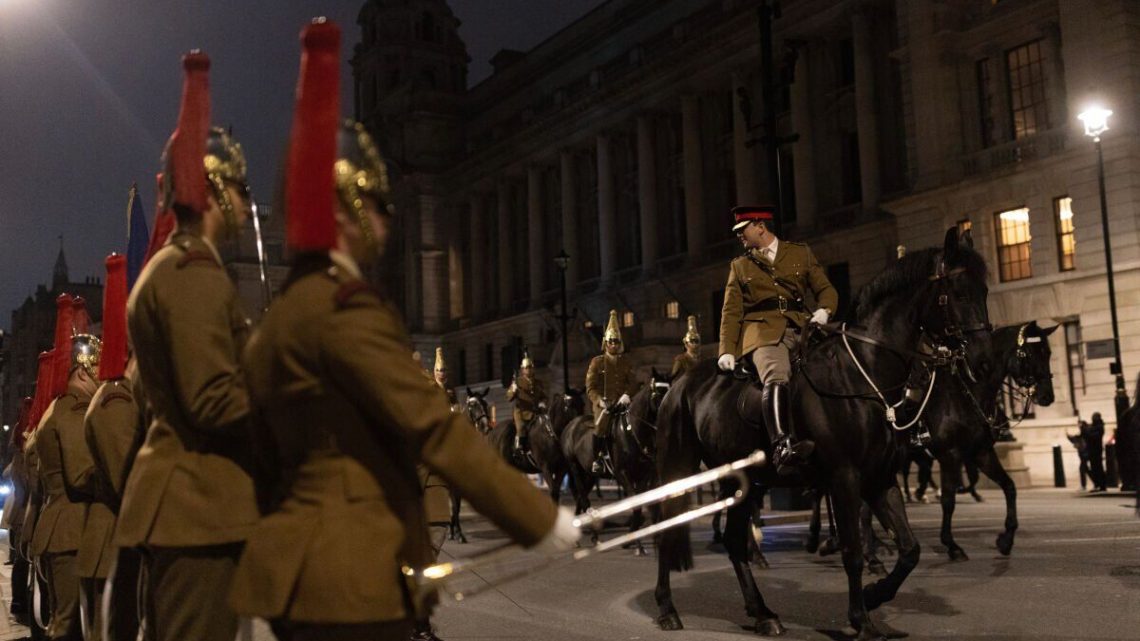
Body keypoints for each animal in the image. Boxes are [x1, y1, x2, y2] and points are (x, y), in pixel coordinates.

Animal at [652, 226, 989, 634]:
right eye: (959, 293)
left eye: (985, 290)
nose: (982, 359)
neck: (864, 374)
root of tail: (681, 383)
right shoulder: (844, 477)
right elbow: (853, 550)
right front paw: (862, 619)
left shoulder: (880, 478)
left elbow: (910, 549)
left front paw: (876, 594)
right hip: (680, 471)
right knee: (668, 529)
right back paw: (667, 608)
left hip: (743, 482)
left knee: (734, 541)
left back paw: (762, 613)